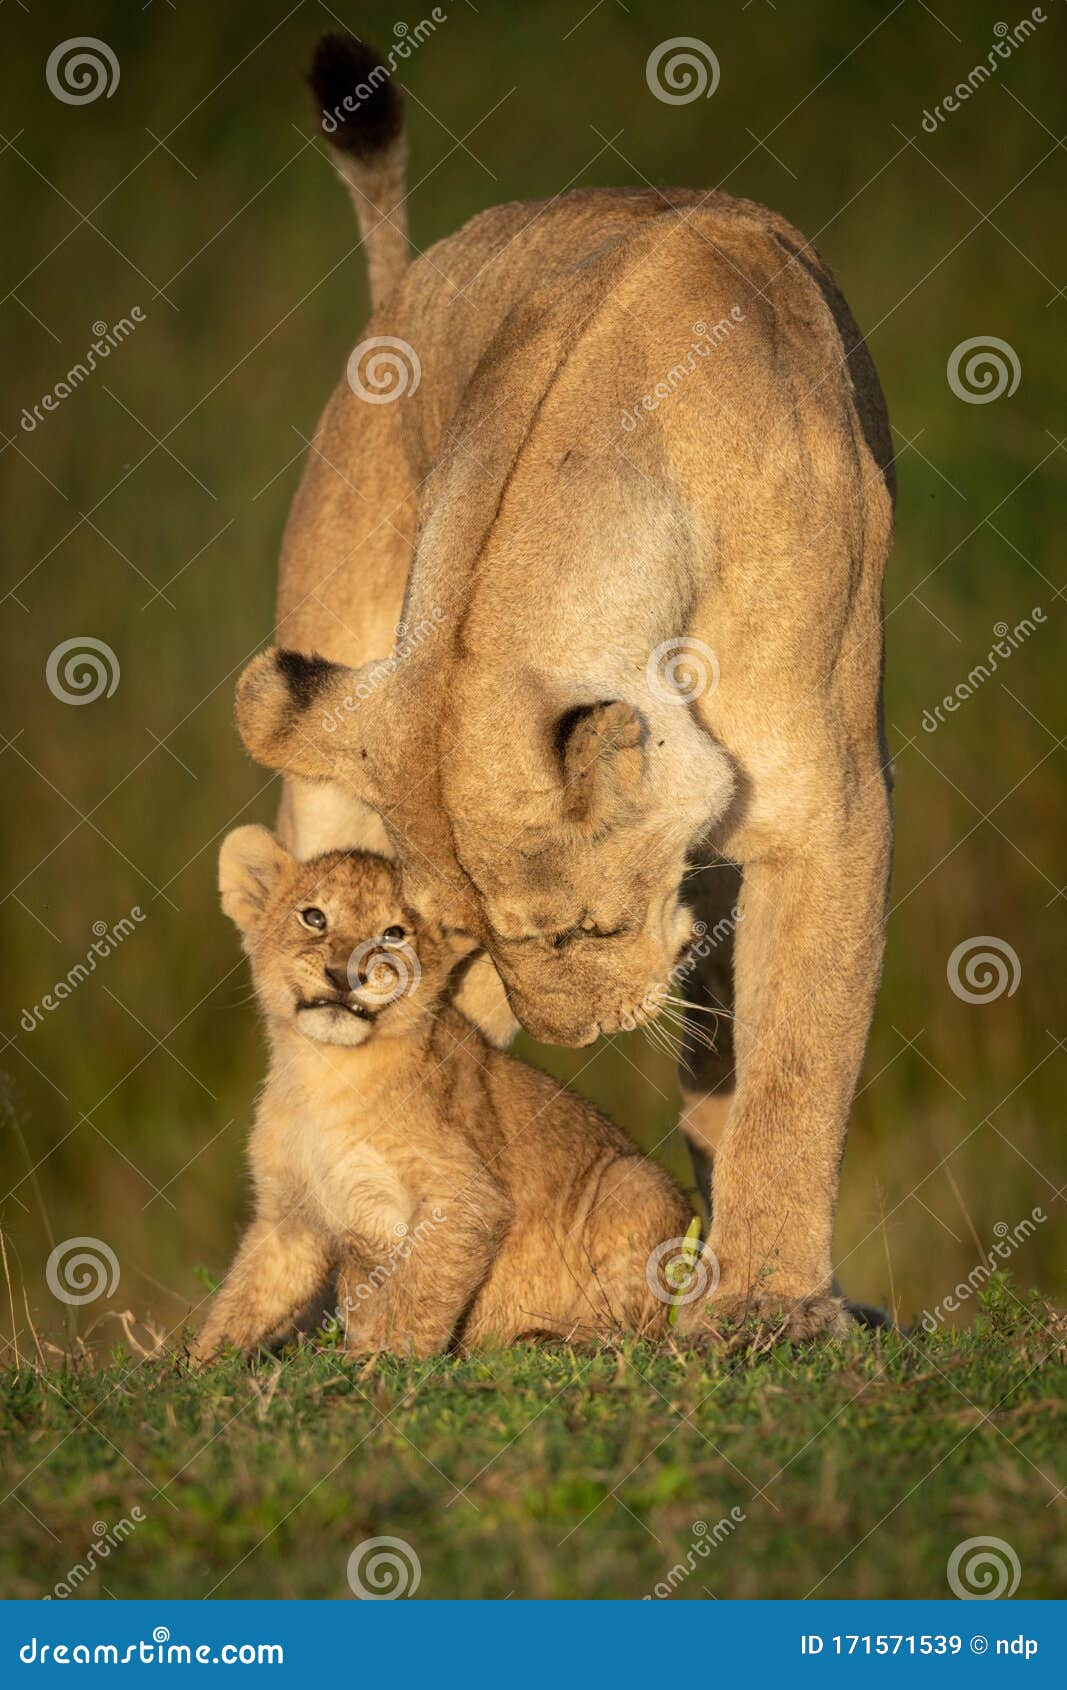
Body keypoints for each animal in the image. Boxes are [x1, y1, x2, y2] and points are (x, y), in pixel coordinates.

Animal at [191, 828, 695, 1363]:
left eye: (394, 934)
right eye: (314, 917)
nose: (345, 972)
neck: (324, 1070)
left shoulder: (466, 1197)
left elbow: (421, 1291)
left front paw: (386, 1362)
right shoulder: (290, 1215)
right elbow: (246, 1296)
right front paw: (194, 1365)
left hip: (633, 1182)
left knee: (640, 1335)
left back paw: (548, 1342)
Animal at [233, 35, 895, 1339]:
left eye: (583, 926)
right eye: (451, 935)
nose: (574, 1035)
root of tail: (398, 290)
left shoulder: (828, 806)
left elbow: (798, 1063)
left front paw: (767, 1303)